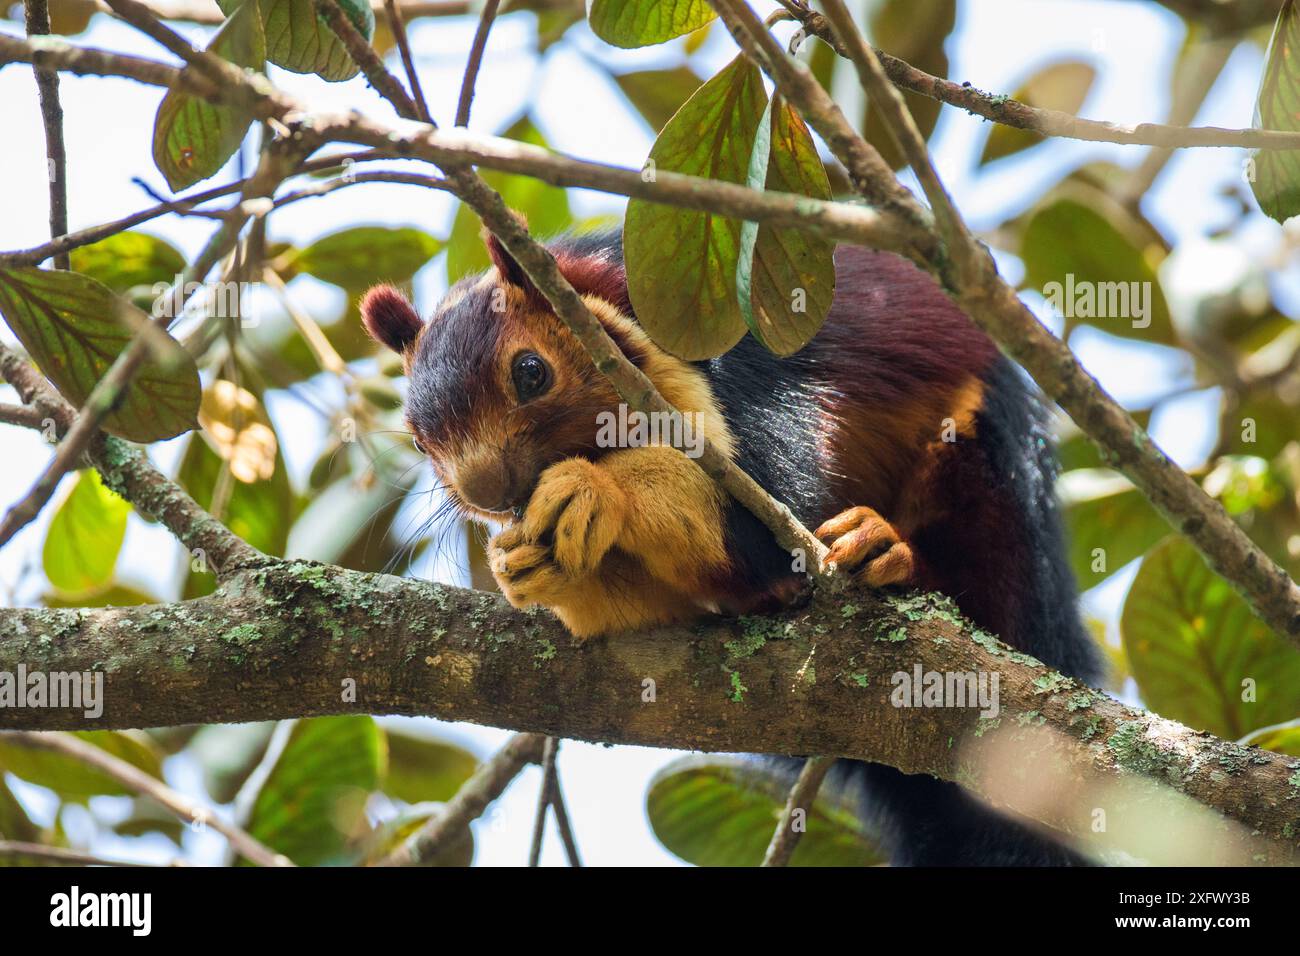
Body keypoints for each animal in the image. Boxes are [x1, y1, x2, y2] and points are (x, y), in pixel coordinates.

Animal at [361, 227, 1102, 866]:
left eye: (532, 372)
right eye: (419, 437)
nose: (485, 491)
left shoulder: (753, 376)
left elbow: (762, 521)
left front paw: (598, 489)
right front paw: (526, 564)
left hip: (993, 488)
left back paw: (887, 554)